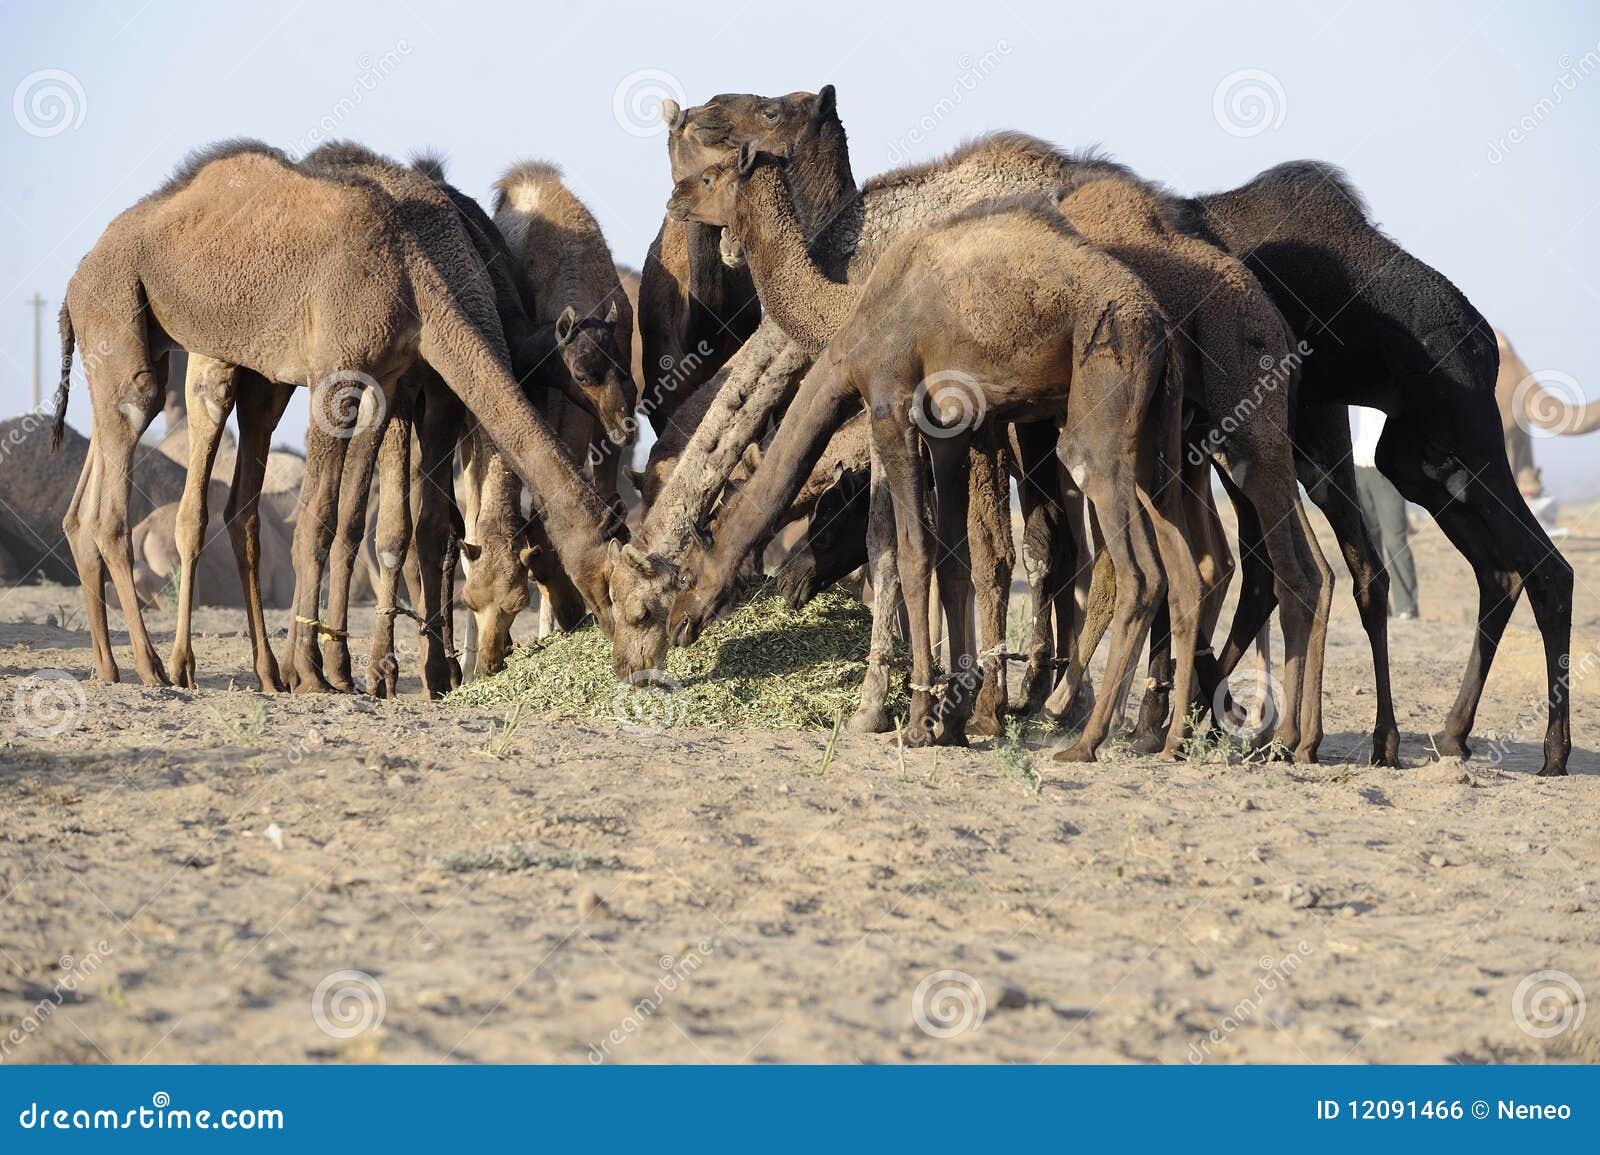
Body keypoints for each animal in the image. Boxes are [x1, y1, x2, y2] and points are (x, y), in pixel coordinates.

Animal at [53, 139, 623, 689]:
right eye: (612, 582)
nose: (611, 643)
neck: (420, 276)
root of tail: (75, 279)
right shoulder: (344, 379)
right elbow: (326, 522)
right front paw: (321, 673)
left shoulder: (389, 383)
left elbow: (373, 524)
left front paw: (364, 670)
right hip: (138, 328)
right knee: (134, 500)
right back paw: (162, 667)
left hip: (188, 362)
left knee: (149, 498)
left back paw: (142, 666)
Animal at [666, 151, 1199, 754]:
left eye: (684, 574)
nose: (676, 626)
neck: (850, 325)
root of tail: (1158, 323)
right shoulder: (950, 429)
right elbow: (954, 557)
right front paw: (955, 715)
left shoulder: (891, 404)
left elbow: (911, 551)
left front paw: (917, 716)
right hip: (1159, 436)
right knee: (1187, 569)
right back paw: (1165, 735)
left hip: (1100, 408)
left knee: (1137, 571)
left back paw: (1082, 737)